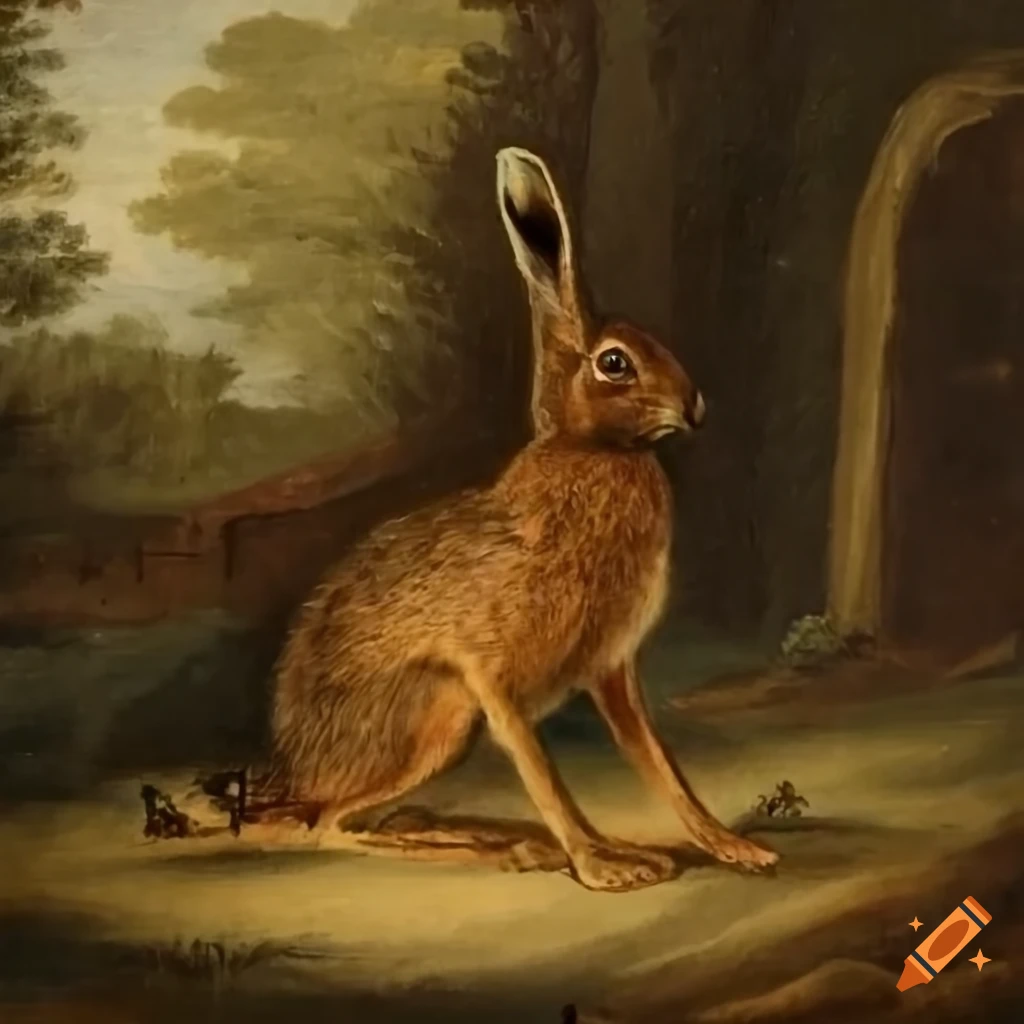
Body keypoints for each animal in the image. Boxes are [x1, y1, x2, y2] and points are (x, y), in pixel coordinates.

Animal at [266, 146, 778, 892]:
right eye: (616, 362)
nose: (695, 406)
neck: (588, 450)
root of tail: (296, 770)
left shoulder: (612, 669)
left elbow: (658, 764)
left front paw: (733, 848)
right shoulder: (488, 674)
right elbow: (542, 772)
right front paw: (603, 866)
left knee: (360, 819)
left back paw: (481, 836)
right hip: (442, 709)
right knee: (330, 825)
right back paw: (504, 849)